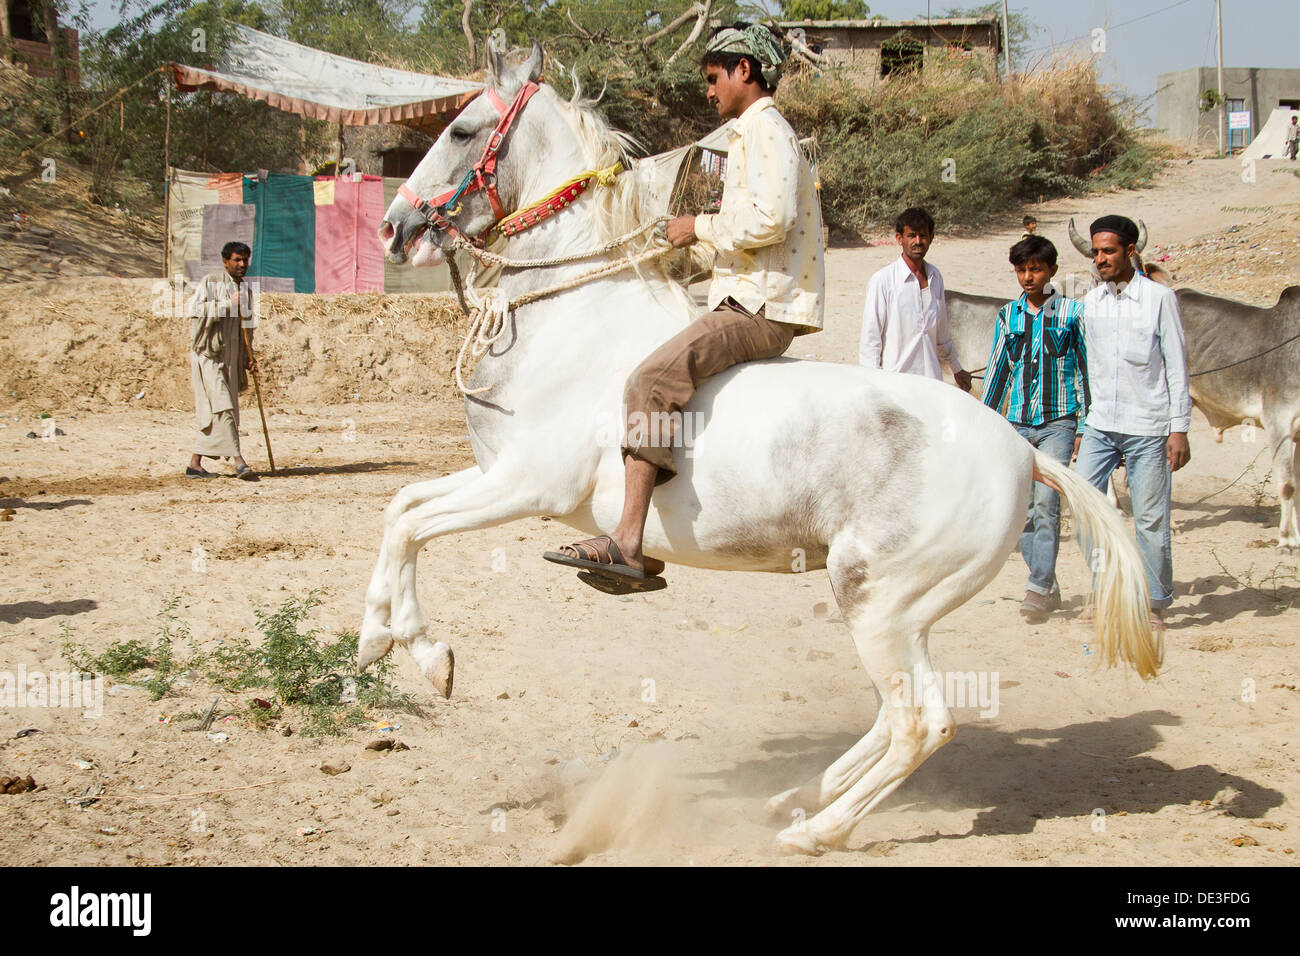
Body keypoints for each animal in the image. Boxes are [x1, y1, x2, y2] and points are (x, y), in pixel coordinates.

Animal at [365, 40, 1161, 856]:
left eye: (461, 130)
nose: (393, 229)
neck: (572, 319)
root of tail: (1023, 455)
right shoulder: (497, 474)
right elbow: (400, 508)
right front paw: (377, 639)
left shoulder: (528, 486)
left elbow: (411, 525)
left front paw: (423, 656)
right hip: (905, 613)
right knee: (895, 717)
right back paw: (800, 795)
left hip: (878, 601)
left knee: (920, 723)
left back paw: (816, 830)